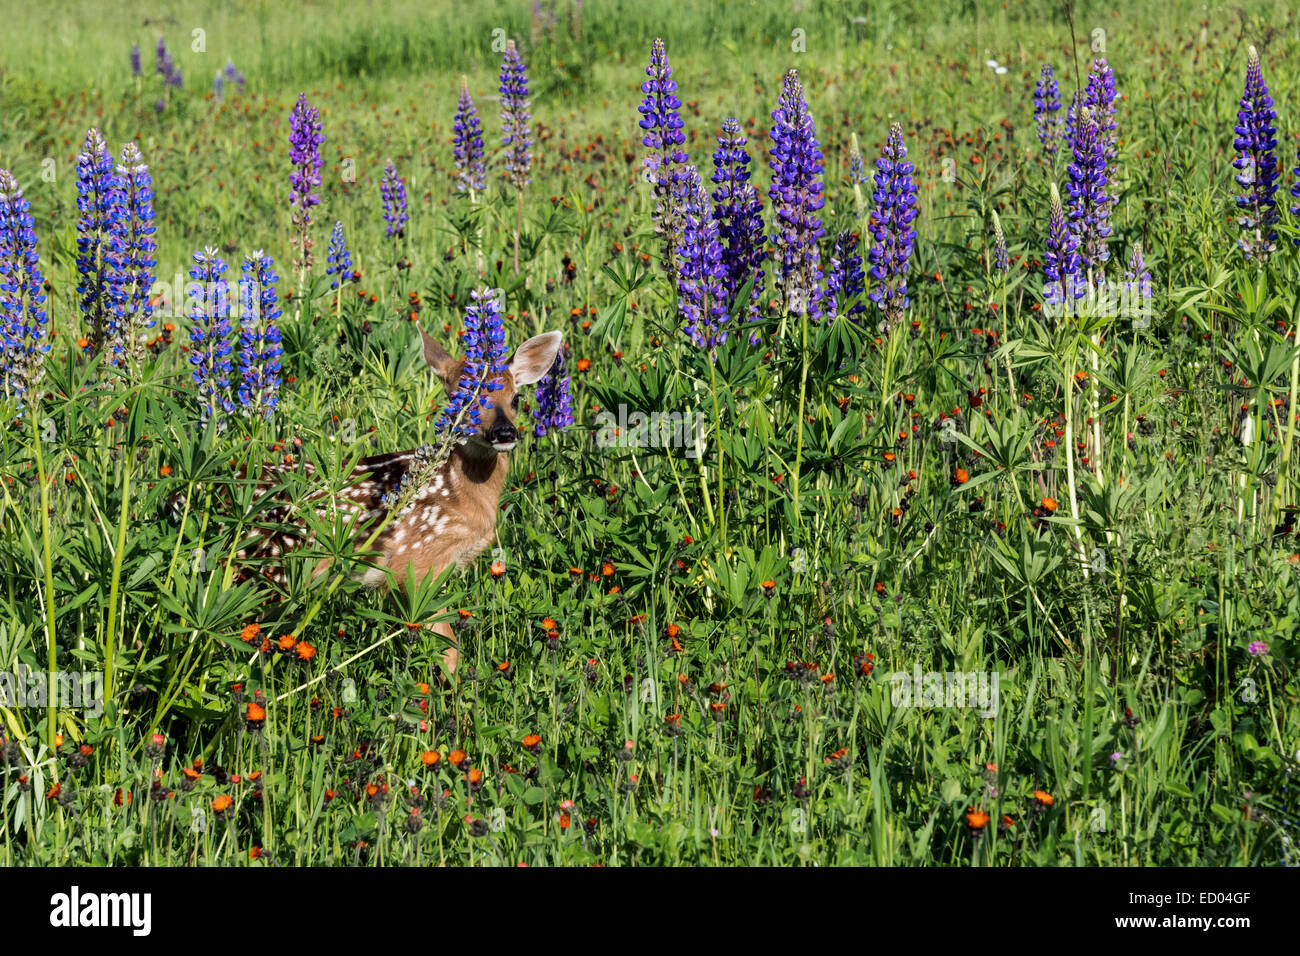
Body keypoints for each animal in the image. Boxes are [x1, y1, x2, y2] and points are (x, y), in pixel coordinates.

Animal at [222, 324, 563, 678]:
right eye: (463, 397)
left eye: (516, 398)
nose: (505, 433)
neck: (460, 492)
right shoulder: (414, 563)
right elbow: (449, 649)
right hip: (266, 568)